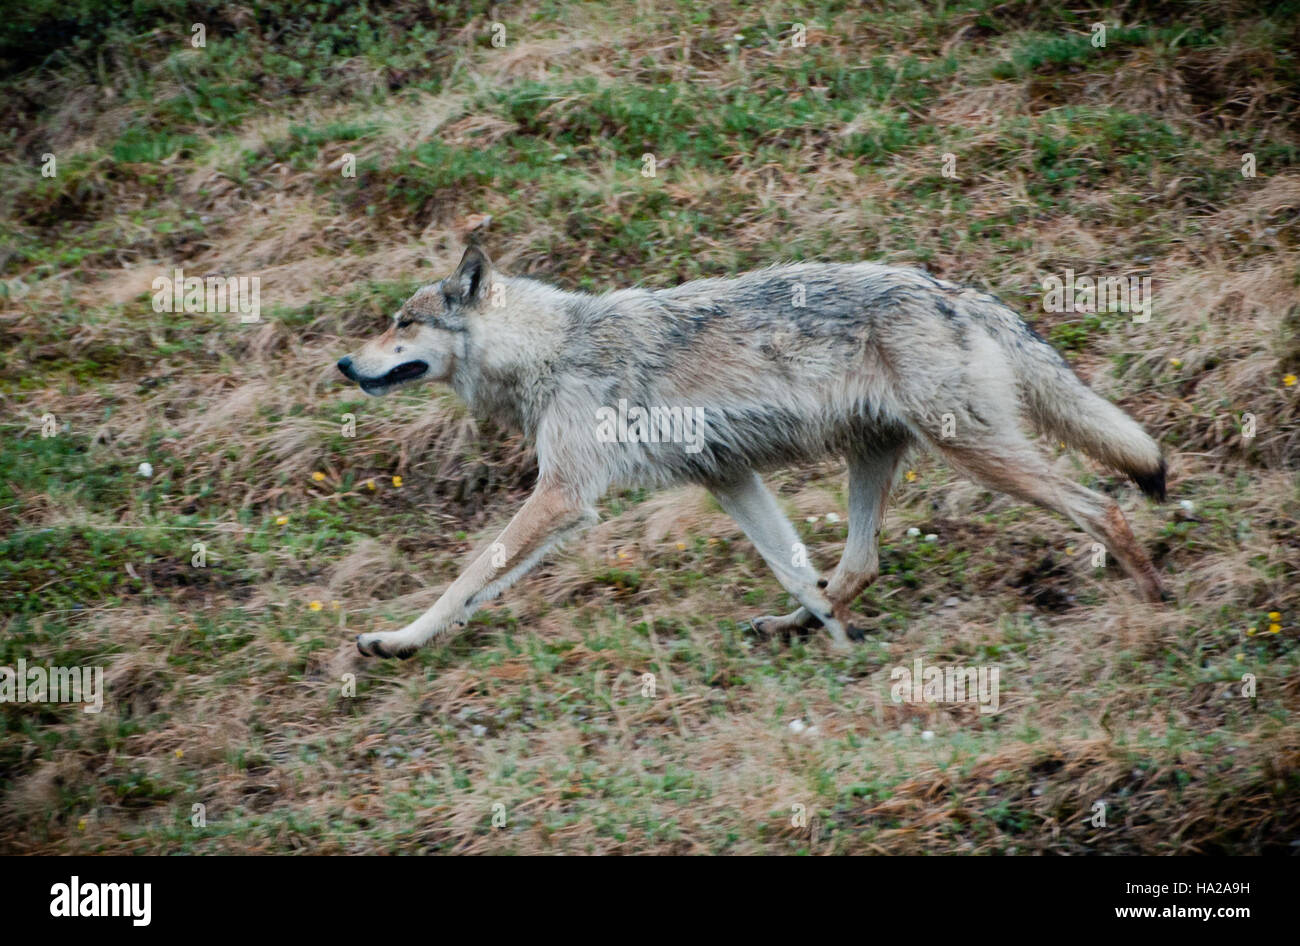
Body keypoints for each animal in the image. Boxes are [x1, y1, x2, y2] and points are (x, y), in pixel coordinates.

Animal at [337, 247, 1166, 658]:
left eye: (401, 324)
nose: (345, 364)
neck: (554, 350)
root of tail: (958, 291)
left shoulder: (565, 497)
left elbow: (467, 578)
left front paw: (398, 640)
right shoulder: (728, 478)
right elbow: (796, 569)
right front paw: (839, 643)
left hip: (974, 450)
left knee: (1101, 507)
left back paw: (1157, 602)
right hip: (876, 459)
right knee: (855, 568)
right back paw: (799, 629)